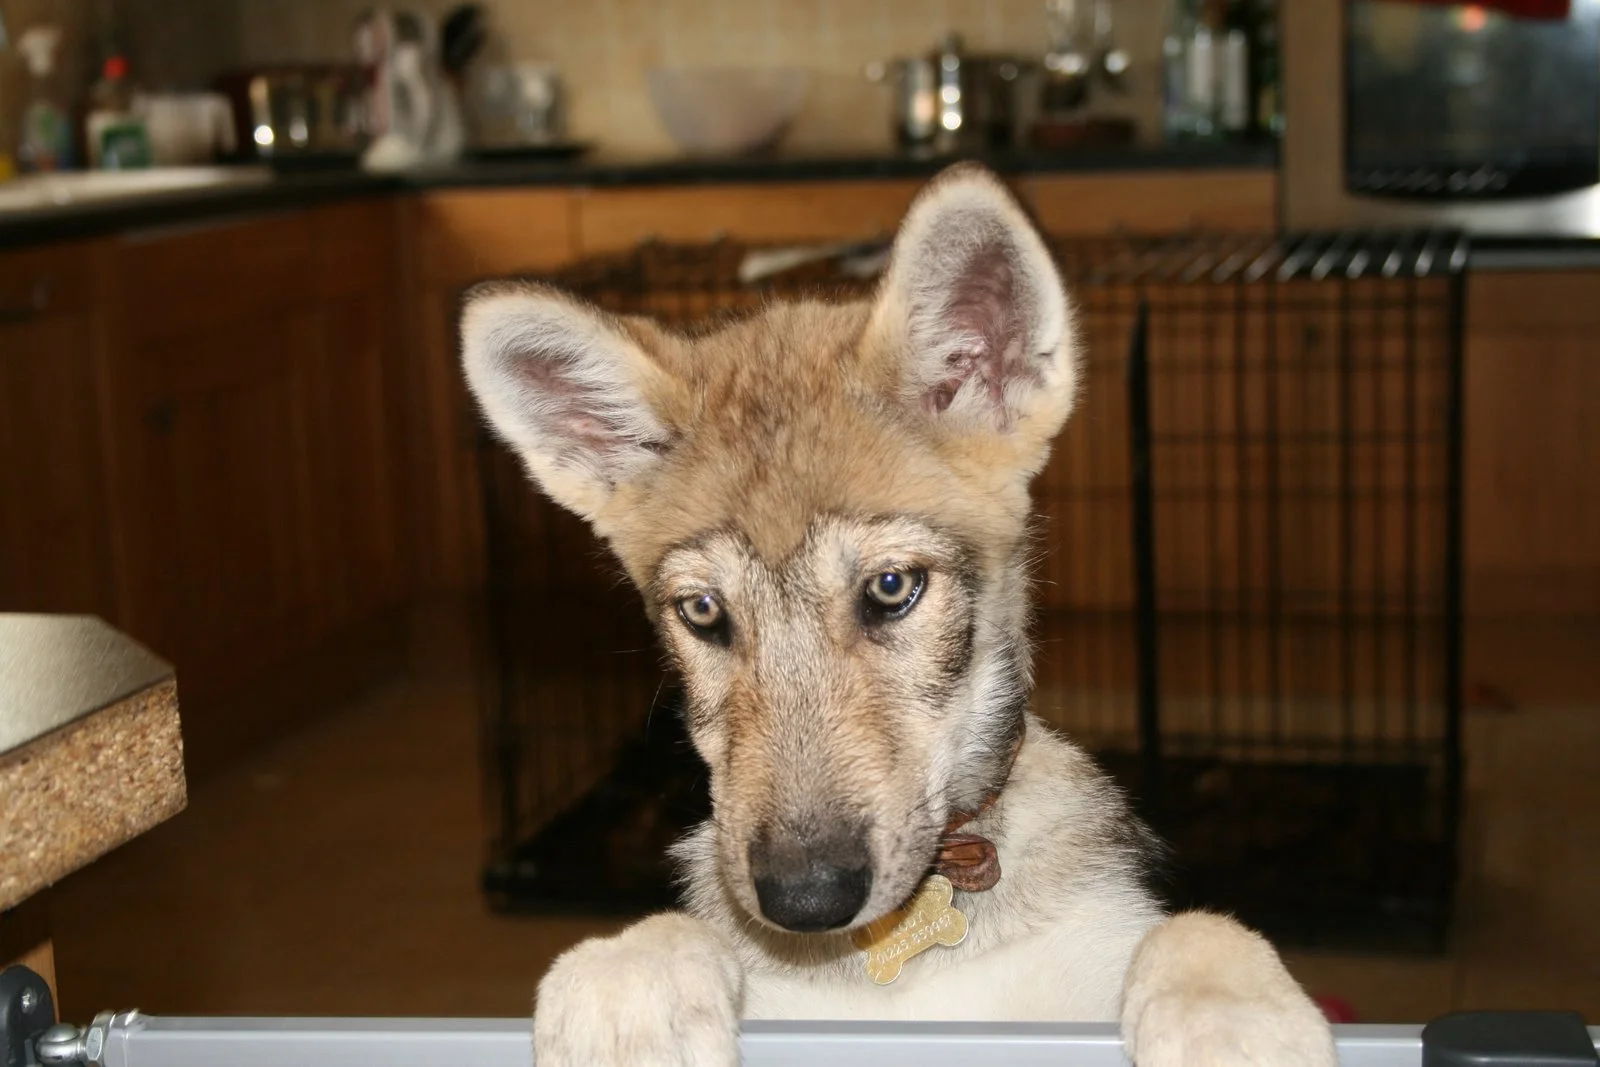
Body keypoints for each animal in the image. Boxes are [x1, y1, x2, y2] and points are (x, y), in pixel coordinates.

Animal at [460, 163, 1337, 1066]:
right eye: (703, 611)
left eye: (890, 588)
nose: (806, 899)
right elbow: (672, 929)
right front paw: (629, 985)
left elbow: (1196, 925)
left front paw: (1229, 1018)